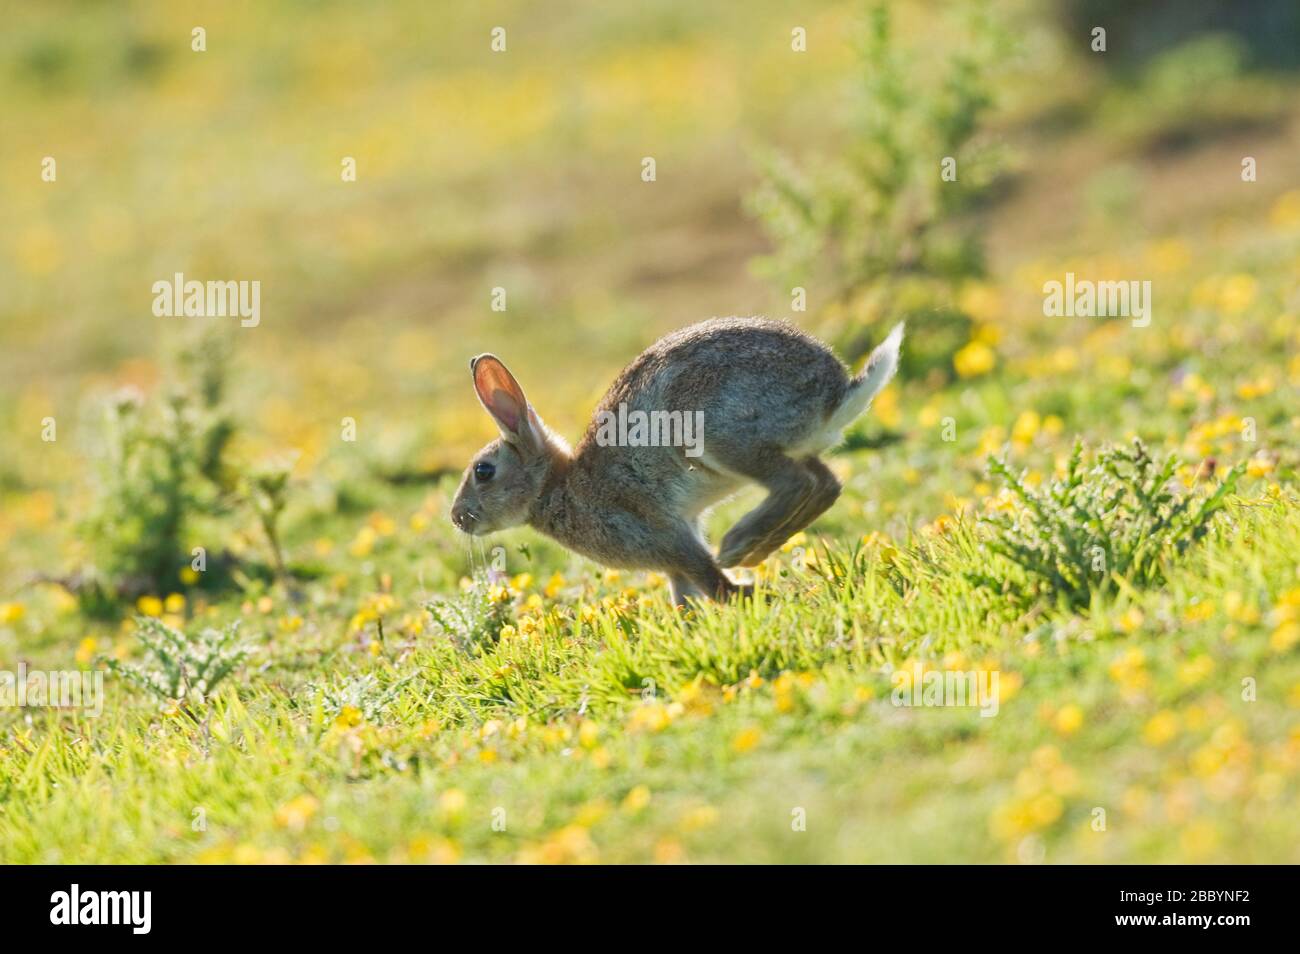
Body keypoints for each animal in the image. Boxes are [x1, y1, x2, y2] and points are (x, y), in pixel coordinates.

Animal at [450, 317, 903, 605]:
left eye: (483, 471)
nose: (457, 518)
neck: (556, 486)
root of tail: (836, 394)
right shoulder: (674, 552)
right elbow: (683, 594)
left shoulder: (664, 537)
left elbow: (707, 578)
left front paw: (745, 594)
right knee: (825, 483)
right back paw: (755, 550)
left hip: (719, 437)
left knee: (800, 483)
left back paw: (738, 547)